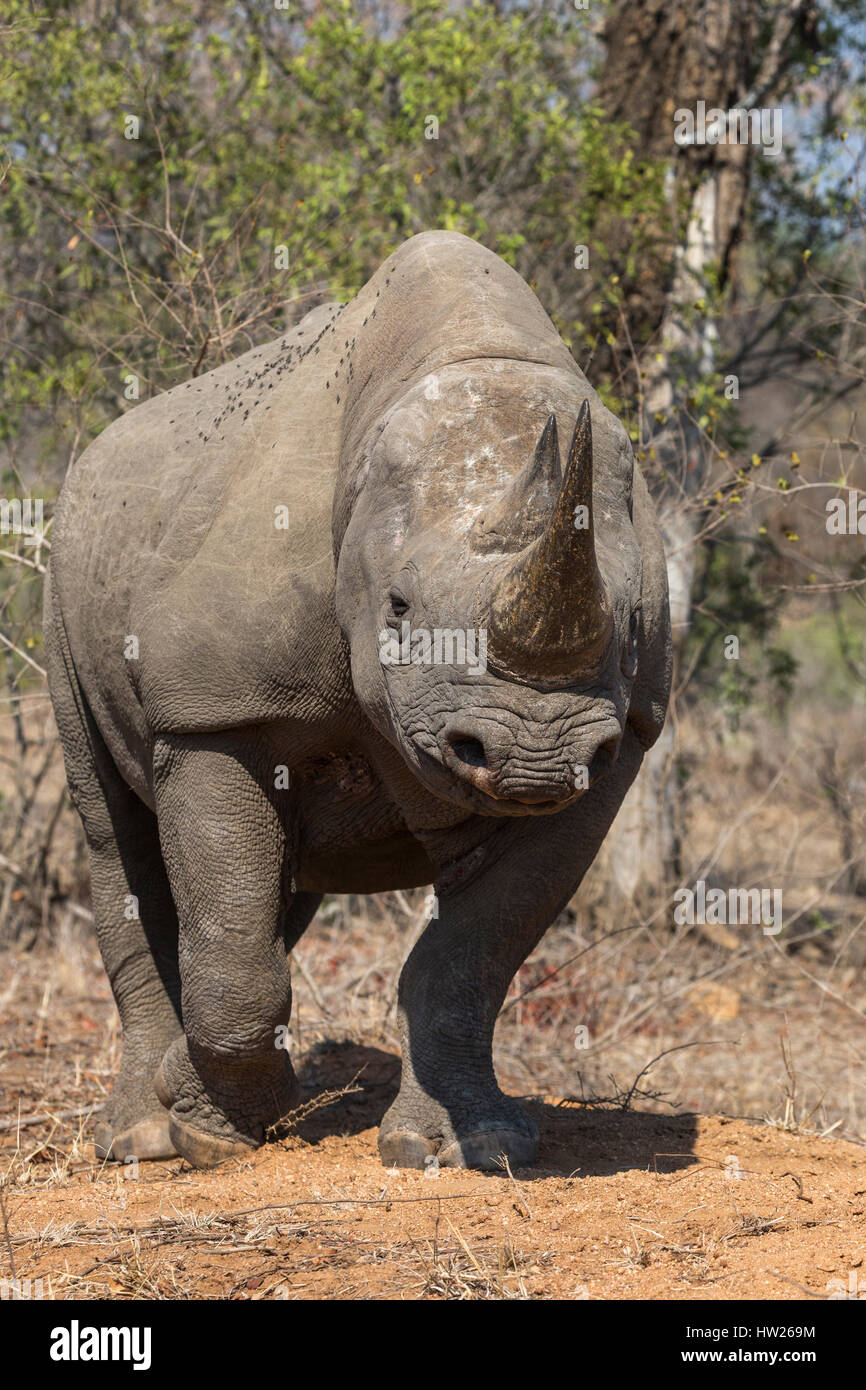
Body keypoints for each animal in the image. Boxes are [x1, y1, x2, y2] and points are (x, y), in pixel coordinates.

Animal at [45, 231, 671, 1170]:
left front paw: (465, 1146)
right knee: (112, 829)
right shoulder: (211, 708)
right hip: (64, 564)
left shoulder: (621, 735)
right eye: (400, 608)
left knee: (275, 885)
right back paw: (140, 1139)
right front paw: (207, 1130)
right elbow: (233, 949)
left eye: (630, 626)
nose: (534, 755)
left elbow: (471, 958)